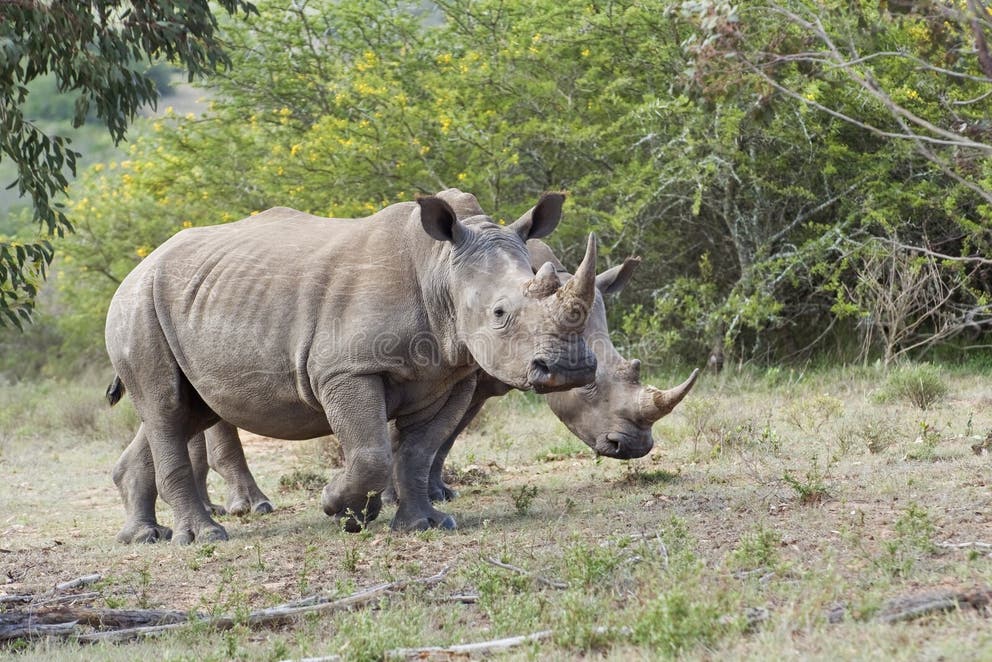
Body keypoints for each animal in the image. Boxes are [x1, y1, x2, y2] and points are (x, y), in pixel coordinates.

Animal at [113, 215, 698, 524]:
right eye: (593, 389)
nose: (634, 448)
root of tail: (135, 268)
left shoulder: (465, 374)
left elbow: (430, 441)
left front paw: (425, 499)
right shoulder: (363, 366)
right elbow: (389, 443)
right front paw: (369, 505)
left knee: (181, 409)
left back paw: (148, 528)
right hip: (142, 302)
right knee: (173, 408)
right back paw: (238, 515)